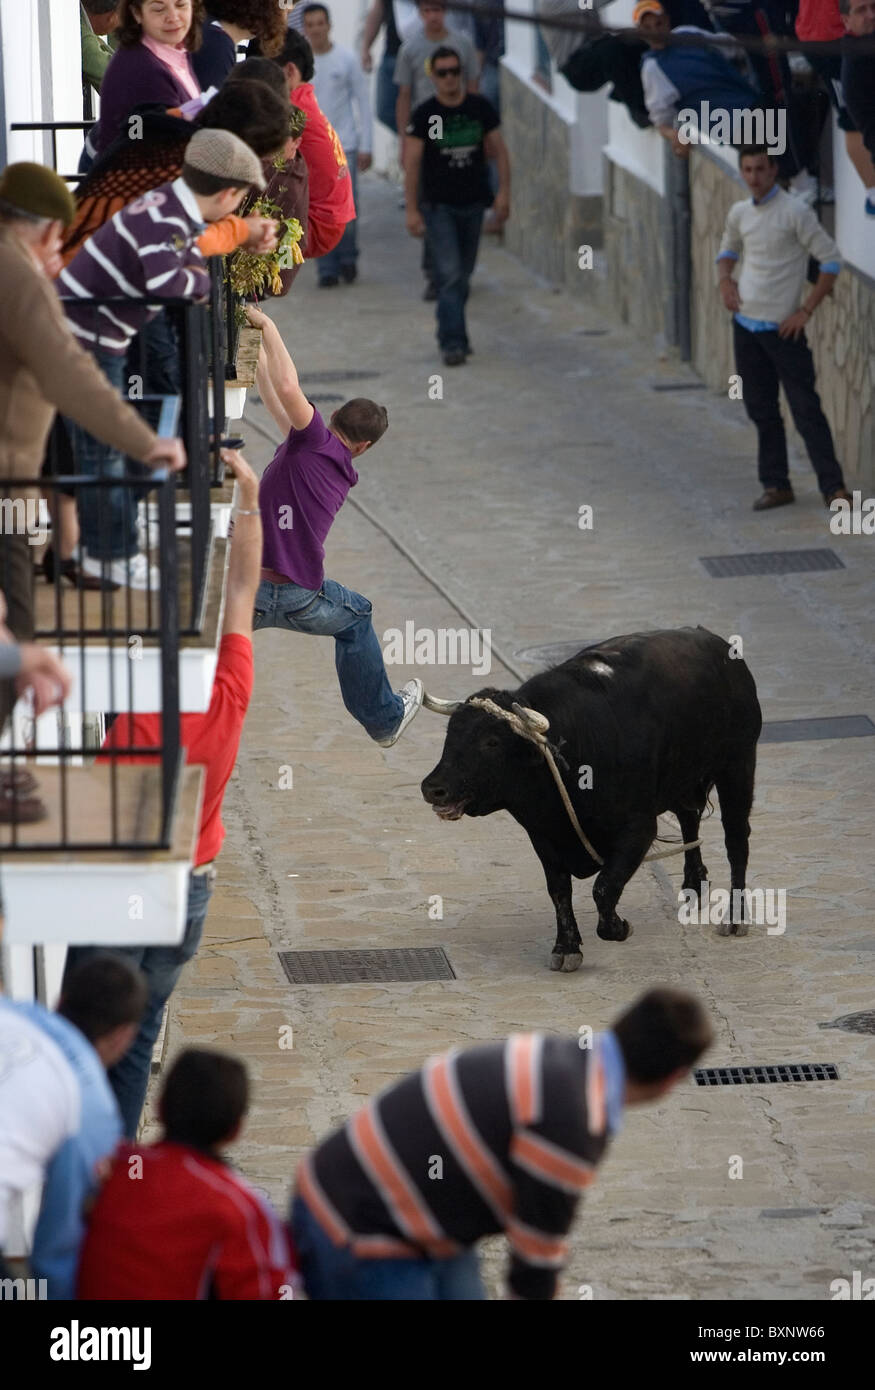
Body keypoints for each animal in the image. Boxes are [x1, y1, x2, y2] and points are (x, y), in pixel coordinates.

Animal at [421, 627, 762, 972]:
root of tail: (716, 643)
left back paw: (735, 918)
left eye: (491, 742)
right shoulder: (544, 837)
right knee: (689, 819)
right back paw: (694, 887)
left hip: (738, 765)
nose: (432, 788)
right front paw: (566, 948)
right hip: (683, 778)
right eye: (450, 735)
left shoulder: (638, 831)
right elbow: (559, 890)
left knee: (736, 840)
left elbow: (604, 888)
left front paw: (619, 927)